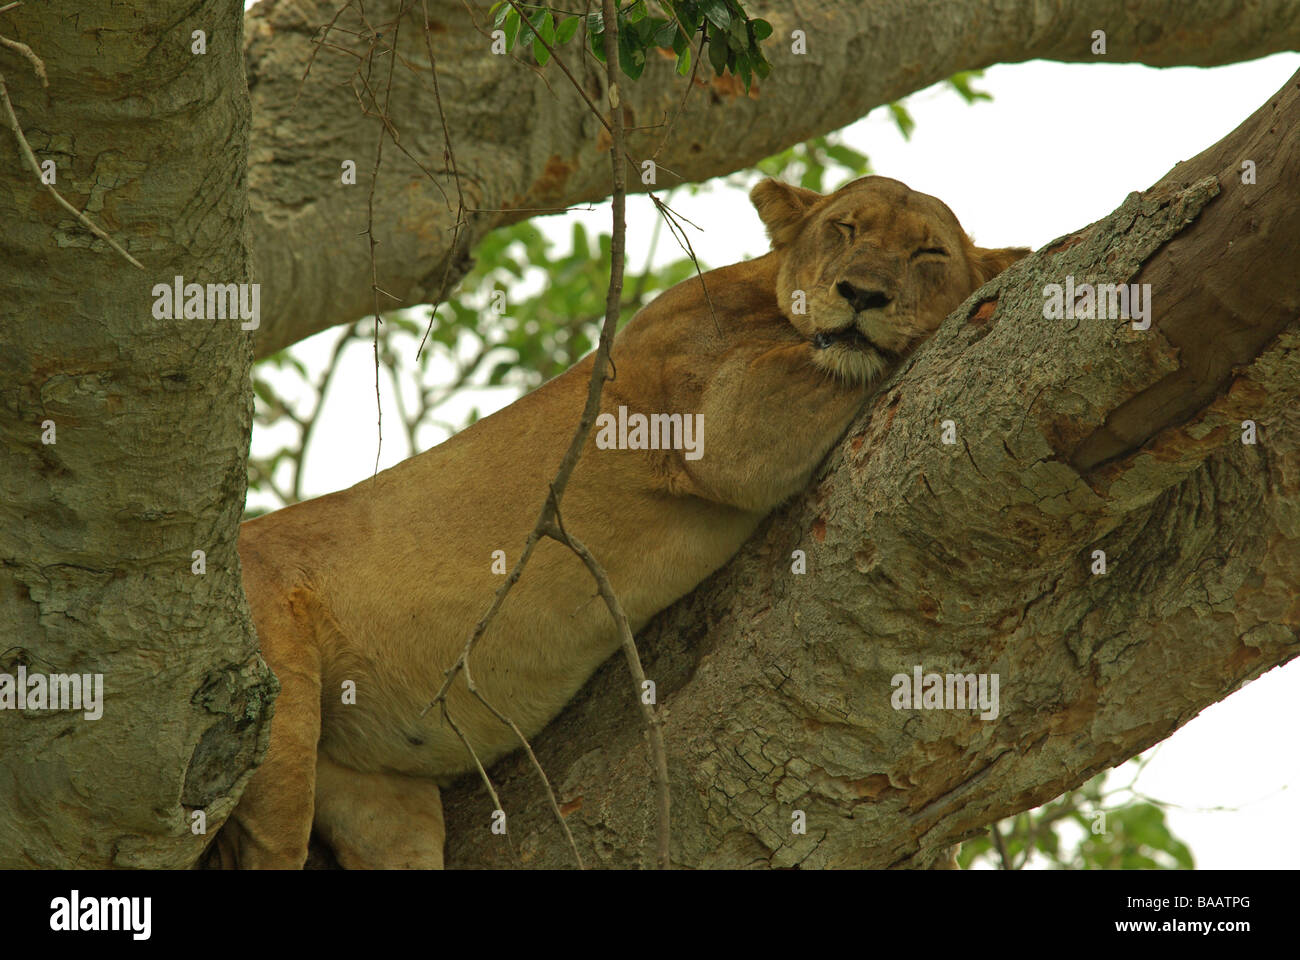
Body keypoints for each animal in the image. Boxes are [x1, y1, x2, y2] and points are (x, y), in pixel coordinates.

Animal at [210, 175, 1029, 869]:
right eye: (845, 228)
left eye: (928, 253)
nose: (861, 294)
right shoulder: (724, 426)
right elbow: (862, 363)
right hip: (282, 706)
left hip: (378, 795)